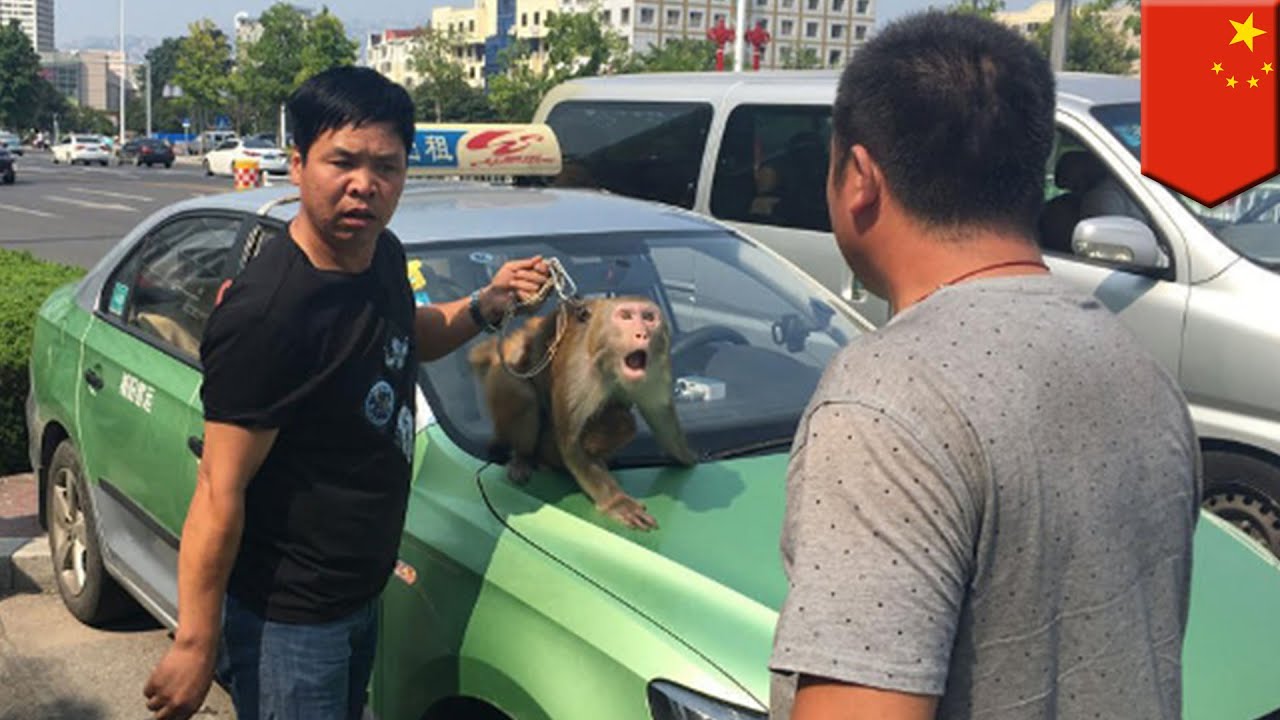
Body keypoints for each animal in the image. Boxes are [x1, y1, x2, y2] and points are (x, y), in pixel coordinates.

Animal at [469, 296, 698, 530]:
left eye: (649, 317)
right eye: (626, 316)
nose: (643, 333)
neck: (611, 366)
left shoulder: (656, 368)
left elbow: (660, 415)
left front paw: (687, 456)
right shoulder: (580, 371)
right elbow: (571, 442)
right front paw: (617, 502)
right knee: (523, 395)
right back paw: (523, 458)